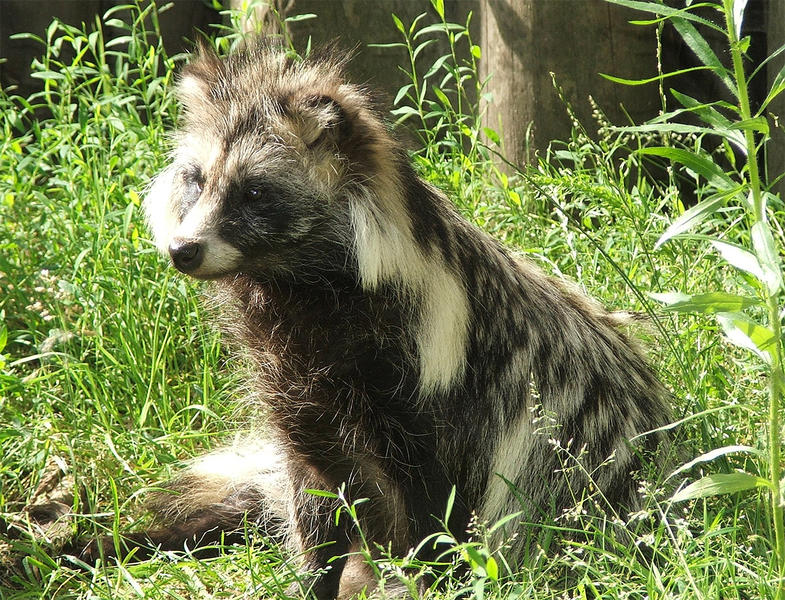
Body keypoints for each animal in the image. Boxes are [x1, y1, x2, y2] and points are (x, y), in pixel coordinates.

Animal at [79, 41, 671, 599]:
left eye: (255, 192)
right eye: (196, 180)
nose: (183, 249)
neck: (301, 291)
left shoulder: (437, 379)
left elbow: (440, 499)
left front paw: (431, 577)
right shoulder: (299, 392)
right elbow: (316, 493)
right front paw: (312, 580)